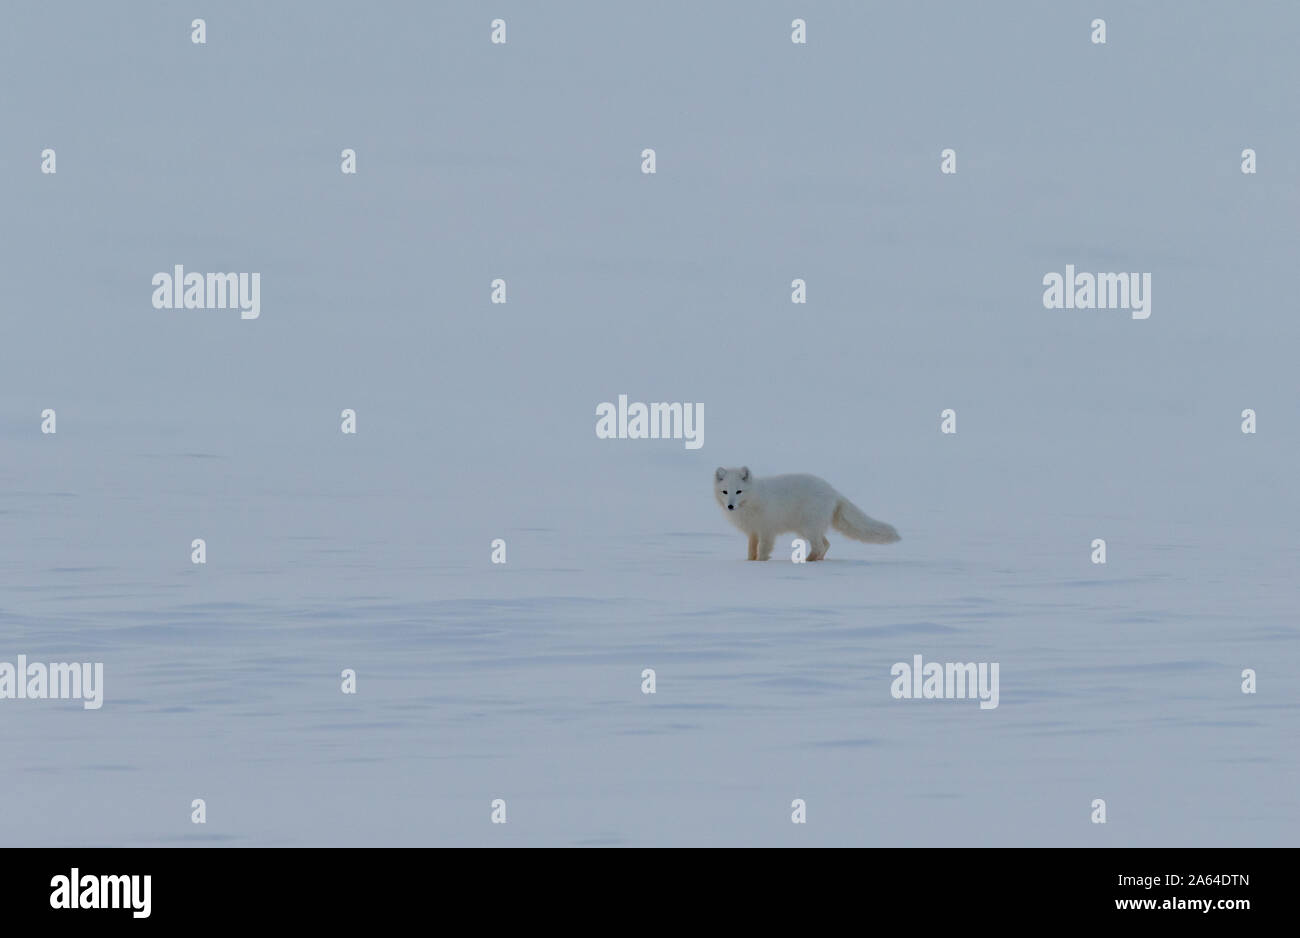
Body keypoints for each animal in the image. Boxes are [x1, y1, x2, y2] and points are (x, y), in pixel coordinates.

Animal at [714, 466, 900, 561]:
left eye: (739, 491)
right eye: (725, 492)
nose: (730, 506)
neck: (752, 500)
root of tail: (833, 491)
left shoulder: (767, 530)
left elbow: (762, 551)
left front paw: (761, 563)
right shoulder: (753, 531)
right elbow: (751, 551)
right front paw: (750, 563)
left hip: (808, 528)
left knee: (820, 546)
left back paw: (807, 562)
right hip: (809, 529)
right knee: (826, 545)